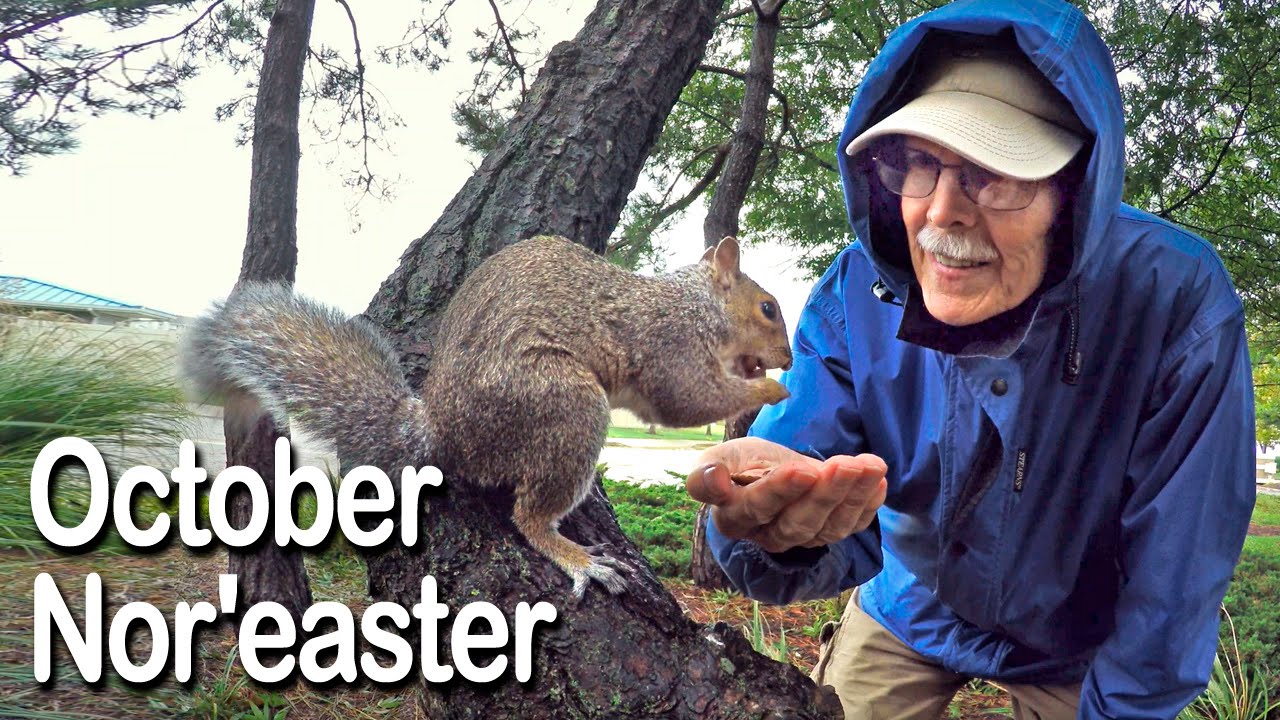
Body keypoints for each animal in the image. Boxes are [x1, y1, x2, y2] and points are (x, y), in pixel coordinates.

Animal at [182, 235, 793, 597]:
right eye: (767, 307)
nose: (788, 358)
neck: (697, 306)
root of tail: (441, 433)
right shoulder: (670, 345)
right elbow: (687, 399)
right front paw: (769, 388)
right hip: (565, 404)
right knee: (528, 518)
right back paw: (577, 556)